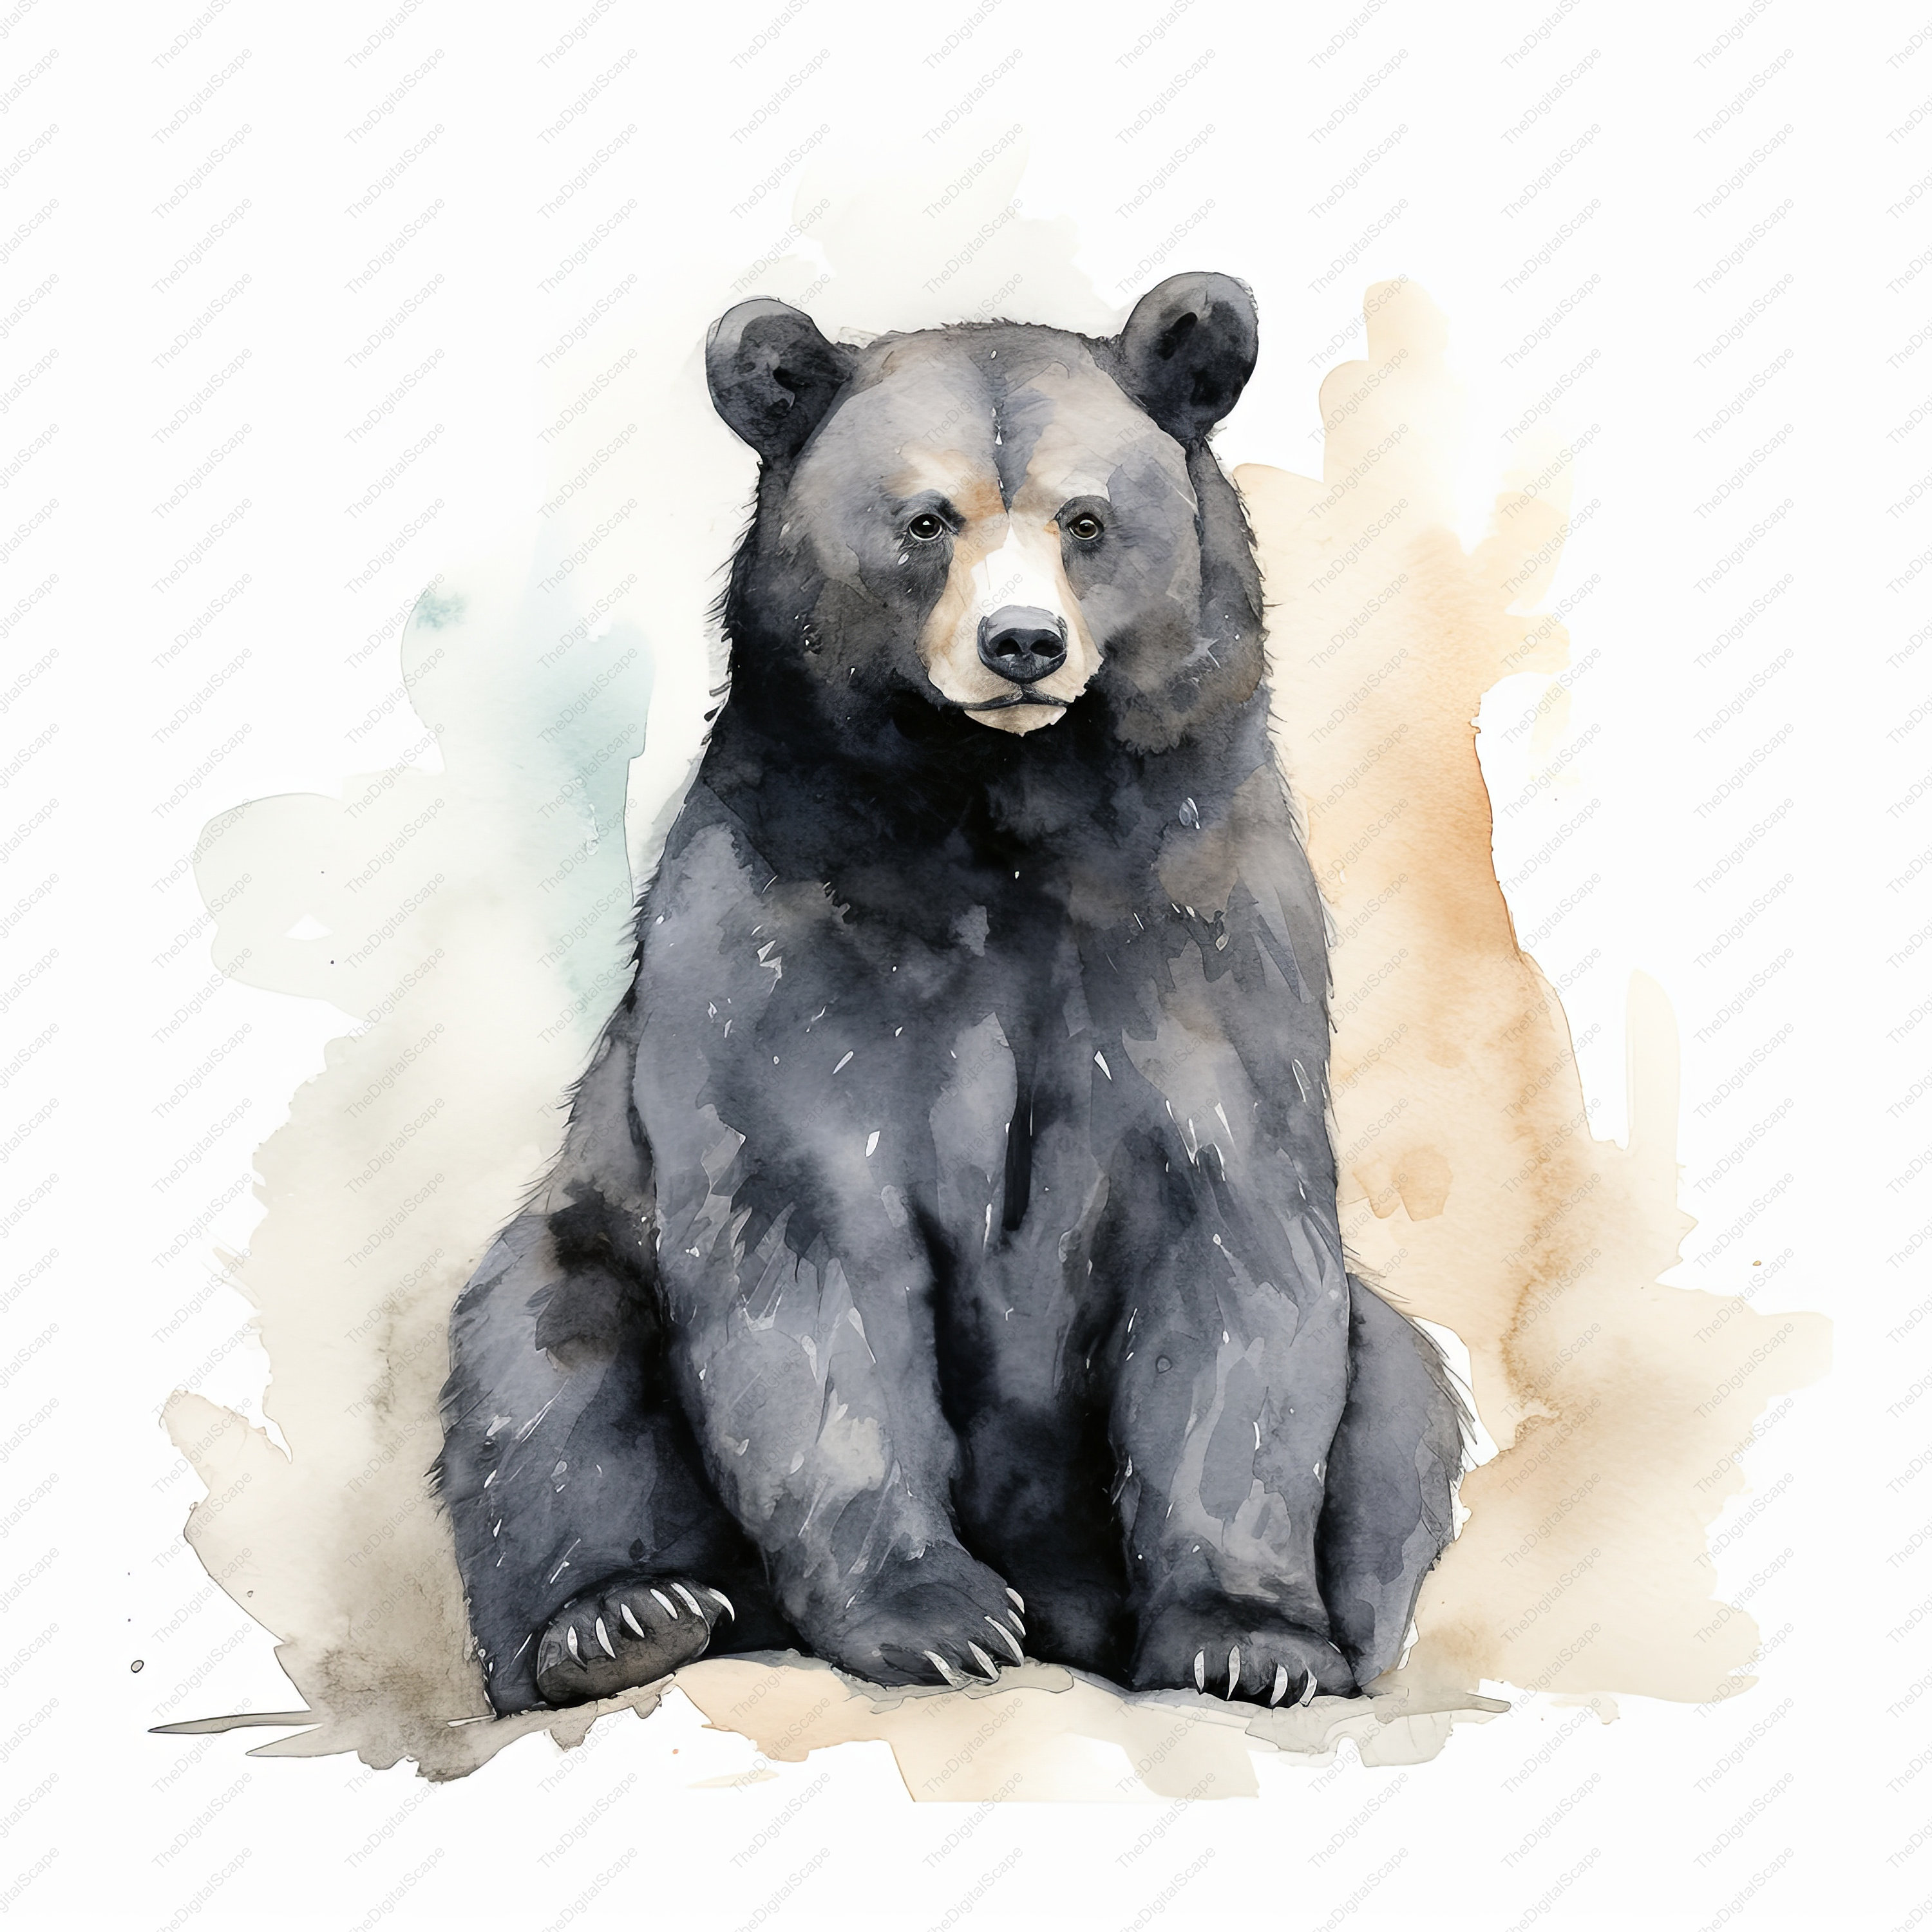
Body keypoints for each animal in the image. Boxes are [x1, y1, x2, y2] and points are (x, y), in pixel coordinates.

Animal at [434, 272, 1465, 1717]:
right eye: (926, 520)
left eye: (1087, 519)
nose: (1021, 643)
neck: (1001, 817)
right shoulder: (782, 940)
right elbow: (810, 1256)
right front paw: (935, 1615)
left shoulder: (1205, 938)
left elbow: (1235, 1260)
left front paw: (1249, 1638)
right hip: (582, 1252)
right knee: (541, 1366)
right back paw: (622, 1618)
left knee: (1401, 1397)